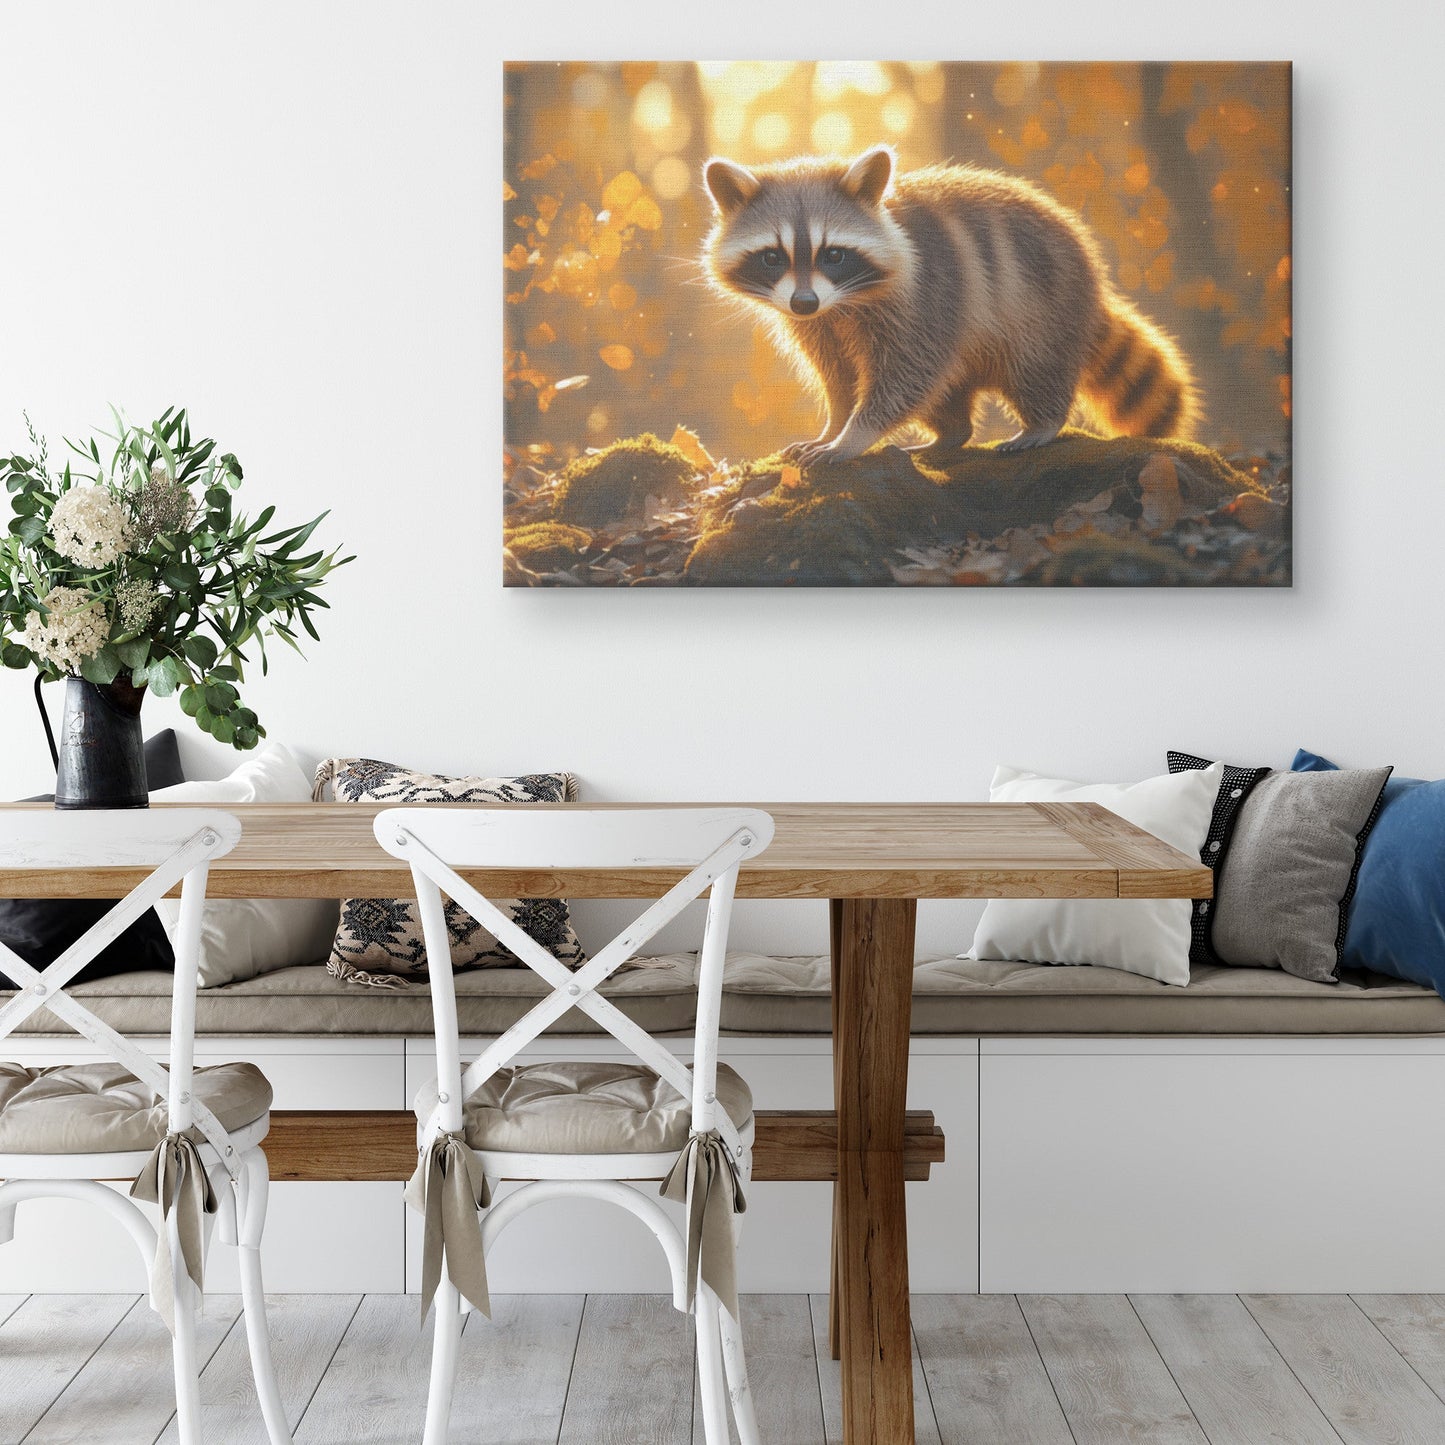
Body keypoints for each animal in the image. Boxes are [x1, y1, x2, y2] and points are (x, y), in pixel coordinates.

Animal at [702, 145, 1200, 464]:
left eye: (834, 254)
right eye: (772, 256)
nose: (804, 301)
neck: (843, 303)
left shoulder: (930, 293)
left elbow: (905, 374)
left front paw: (854, 435)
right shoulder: (819, 325)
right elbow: (838, 376)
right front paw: (835, 422)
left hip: (1044, 303)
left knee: (1033, 366)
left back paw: (1042, 422)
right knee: (946, 391)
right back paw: (950, 435)